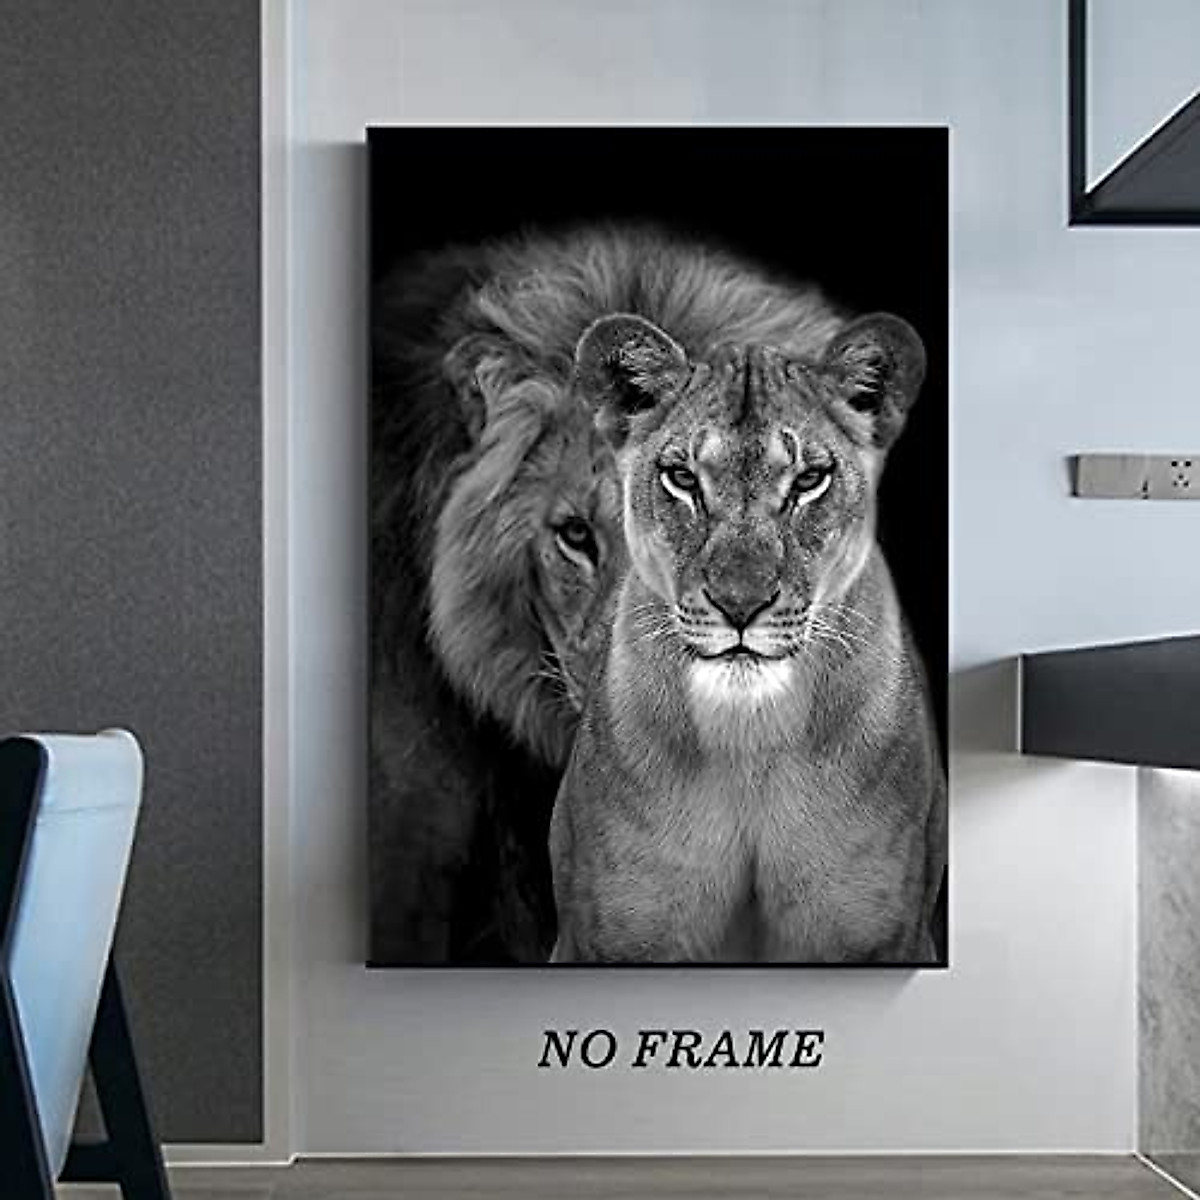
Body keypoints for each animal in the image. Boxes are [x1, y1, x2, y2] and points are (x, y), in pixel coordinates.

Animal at [549, 311, 946, 964]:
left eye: (809, 480)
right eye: (682, 478)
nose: (740, 605)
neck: (748, 740)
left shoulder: (884, 938)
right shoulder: (606, 941)